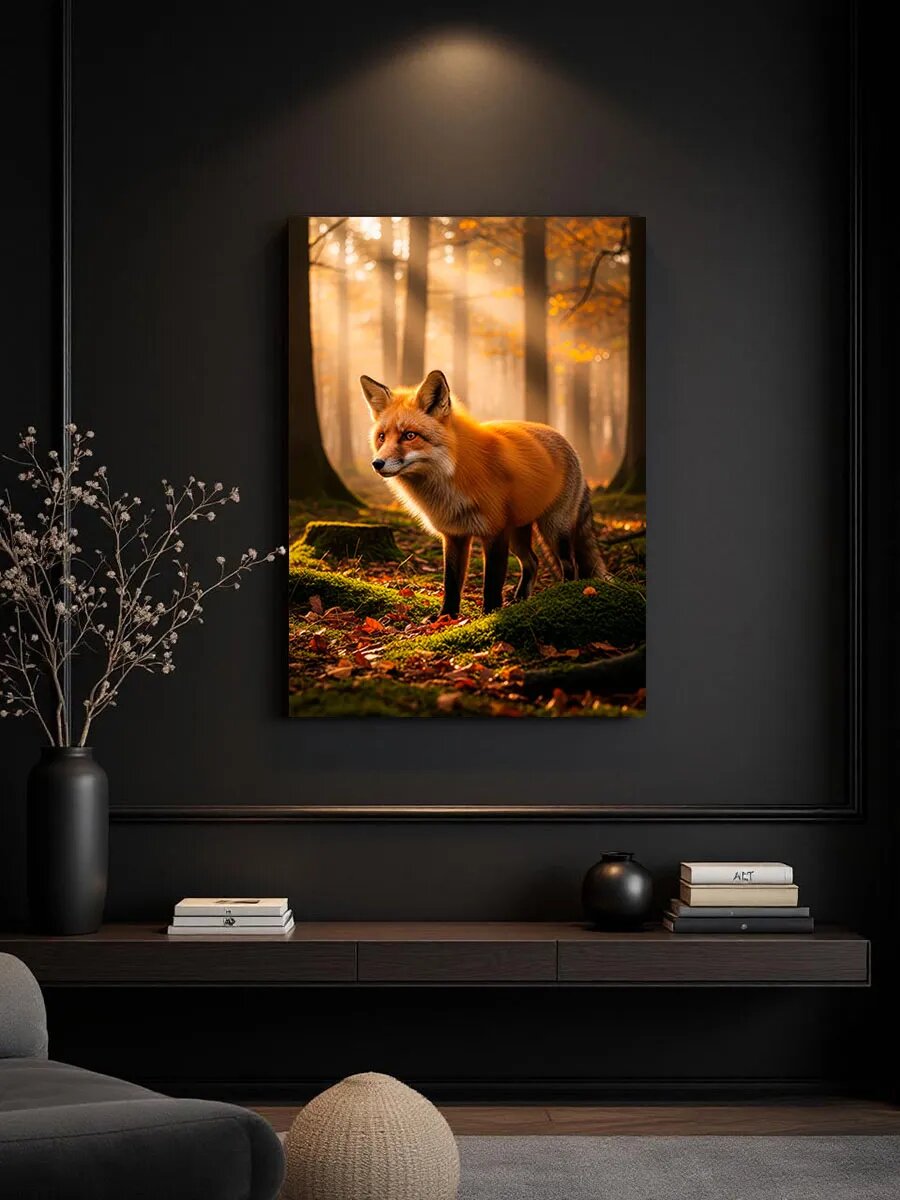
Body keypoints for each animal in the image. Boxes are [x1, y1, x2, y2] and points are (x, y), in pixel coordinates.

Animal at [360, 369, 603, 618]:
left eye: (409, 435)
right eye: (382, 437)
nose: (377, 463)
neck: (452, 479)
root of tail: (565, 440)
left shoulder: (495, 532)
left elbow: (492, 584)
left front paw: (490, 615)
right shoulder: (454, 535)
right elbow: (451, 583)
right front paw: (446, 617)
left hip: (553, 528)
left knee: (569, 564)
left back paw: (562, 593)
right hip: (517, 535)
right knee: (533, 562)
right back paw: (521, 600)